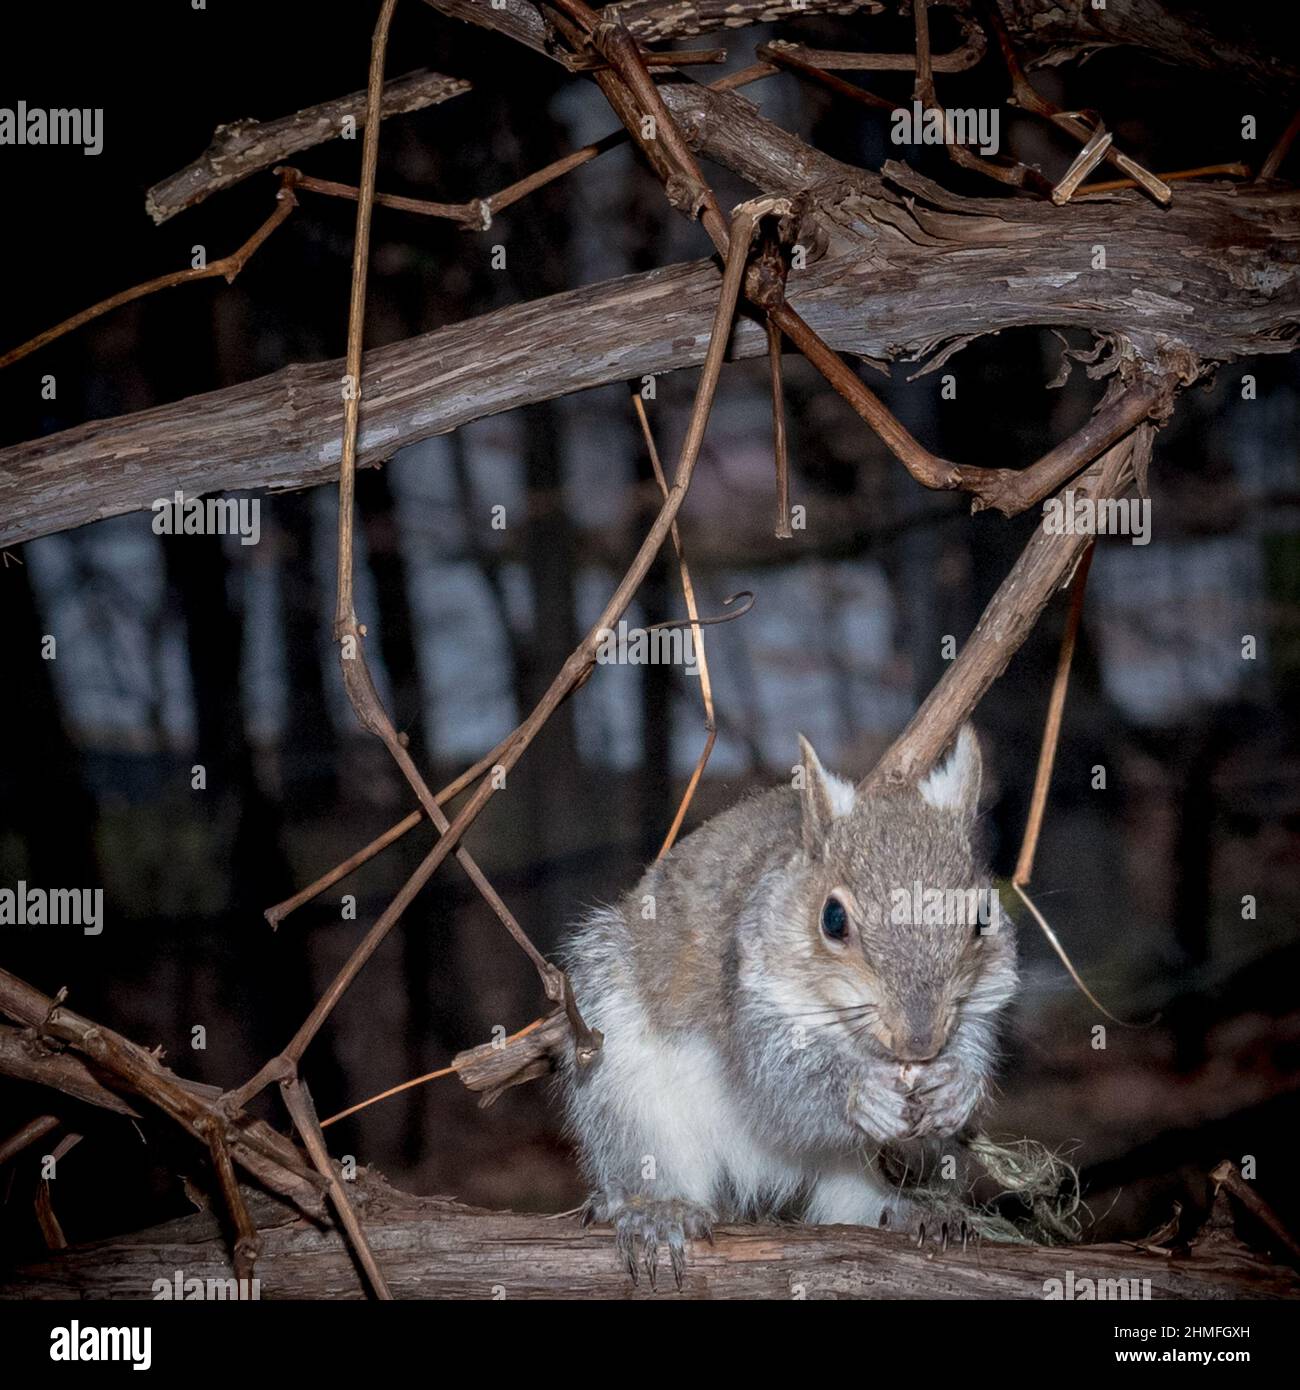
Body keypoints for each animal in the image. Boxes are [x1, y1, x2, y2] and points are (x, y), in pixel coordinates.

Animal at [556, 724, 1018, 1287]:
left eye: (983, 916)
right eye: (833, 919)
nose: (920, 1041)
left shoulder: (982, 1002)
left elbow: (973, 1048)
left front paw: (957, 1088)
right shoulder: (747, 998)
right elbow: (777, 1088)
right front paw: (860, 1096)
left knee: (852, 1202)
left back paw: (911, 1211)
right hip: (624, 1082)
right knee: (644, 1154)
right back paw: (655, 1210)